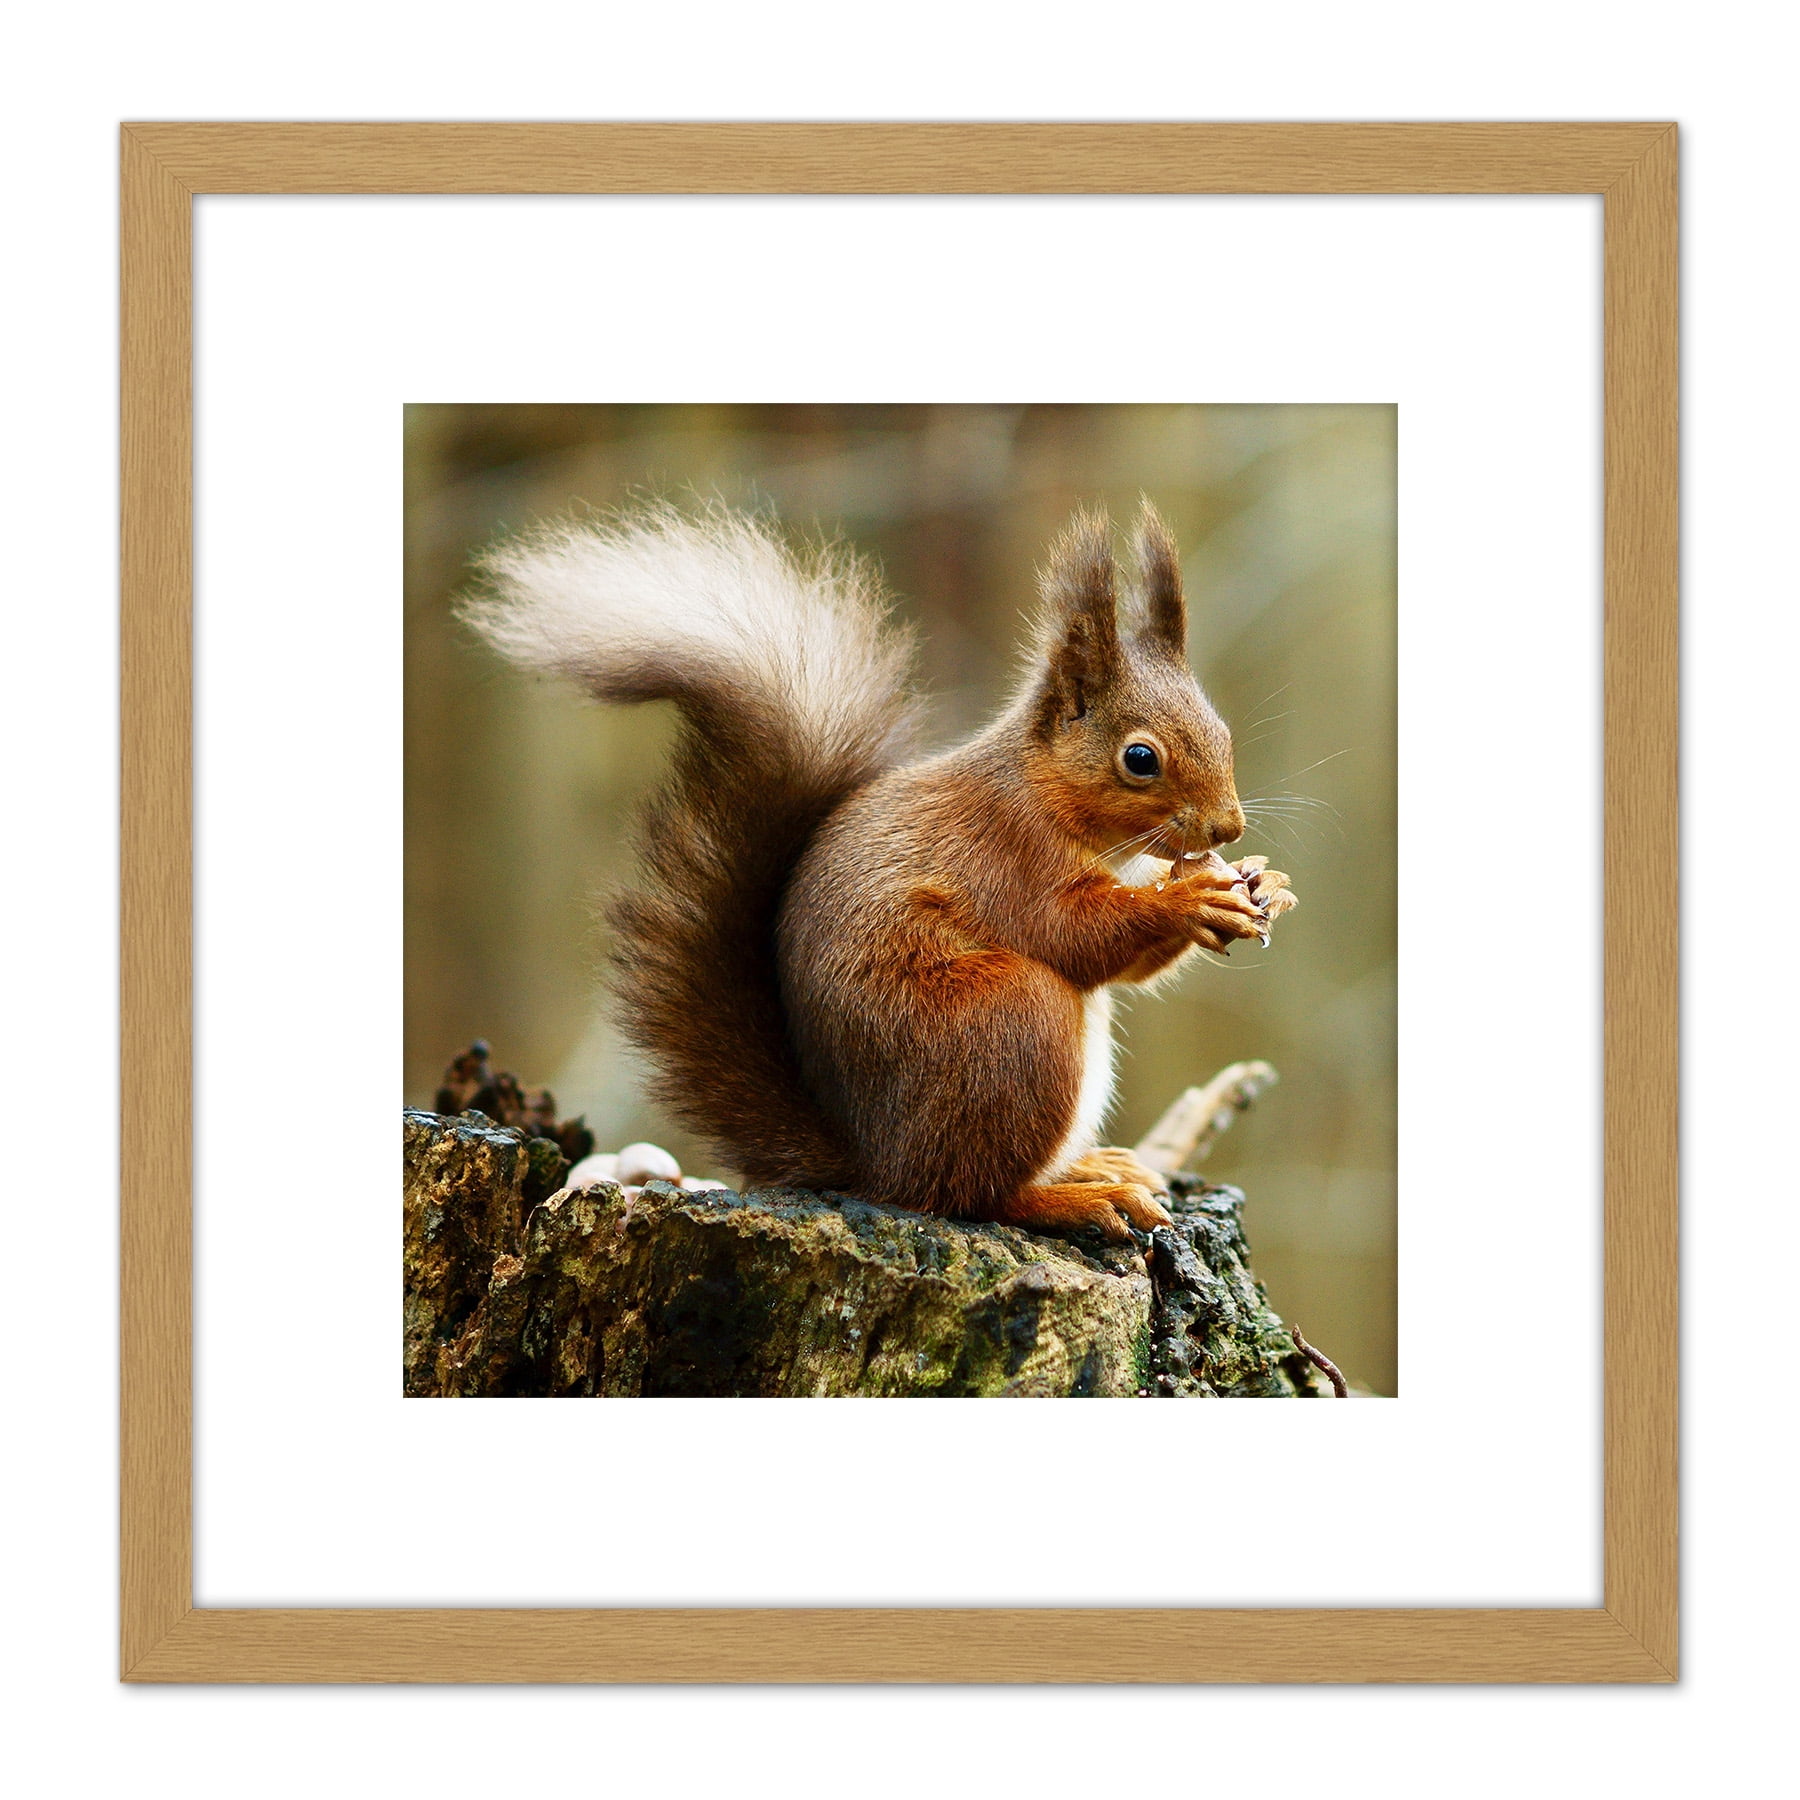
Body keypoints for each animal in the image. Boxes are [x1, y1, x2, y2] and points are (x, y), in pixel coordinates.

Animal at [465, 500, 1297, 1242]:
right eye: (1140, 758)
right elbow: (1074, 934)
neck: (1047, 796)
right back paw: (1072, 1199)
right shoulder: (1004, 854)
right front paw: (1191, 898)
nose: (1228, 827)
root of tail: (875, 1165)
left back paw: (1094, 1167)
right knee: (969, 1195)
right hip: (1008, 1020)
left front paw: (1264, 882)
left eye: (1221, 730)